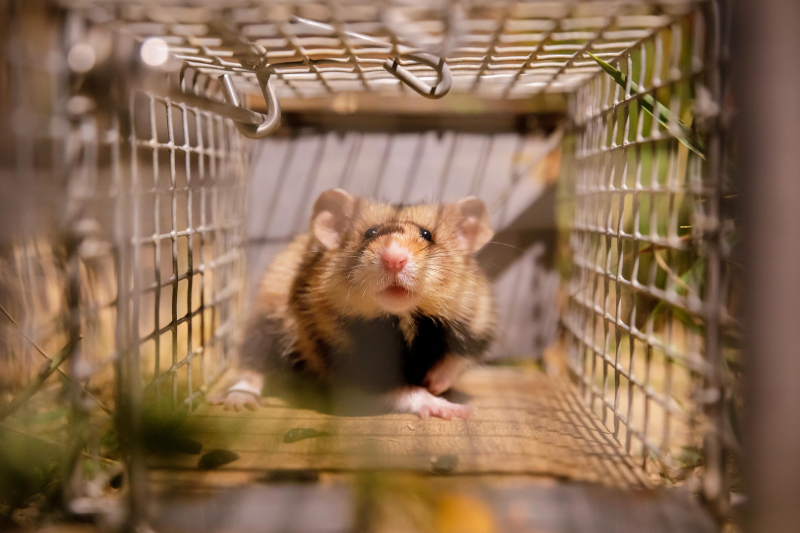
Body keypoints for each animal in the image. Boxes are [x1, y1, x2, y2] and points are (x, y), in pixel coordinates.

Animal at [209, 189, 496, 420]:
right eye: (370, 233)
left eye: (427, 234)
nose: (394, 259)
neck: (403, 316)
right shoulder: (353, 364)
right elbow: (407, 392)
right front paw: (453, 409)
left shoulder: (476, 323)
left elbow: (455, 361)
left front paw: (435, 383)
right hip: (266, 324)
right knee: (252, 367)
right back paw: (236, 402)